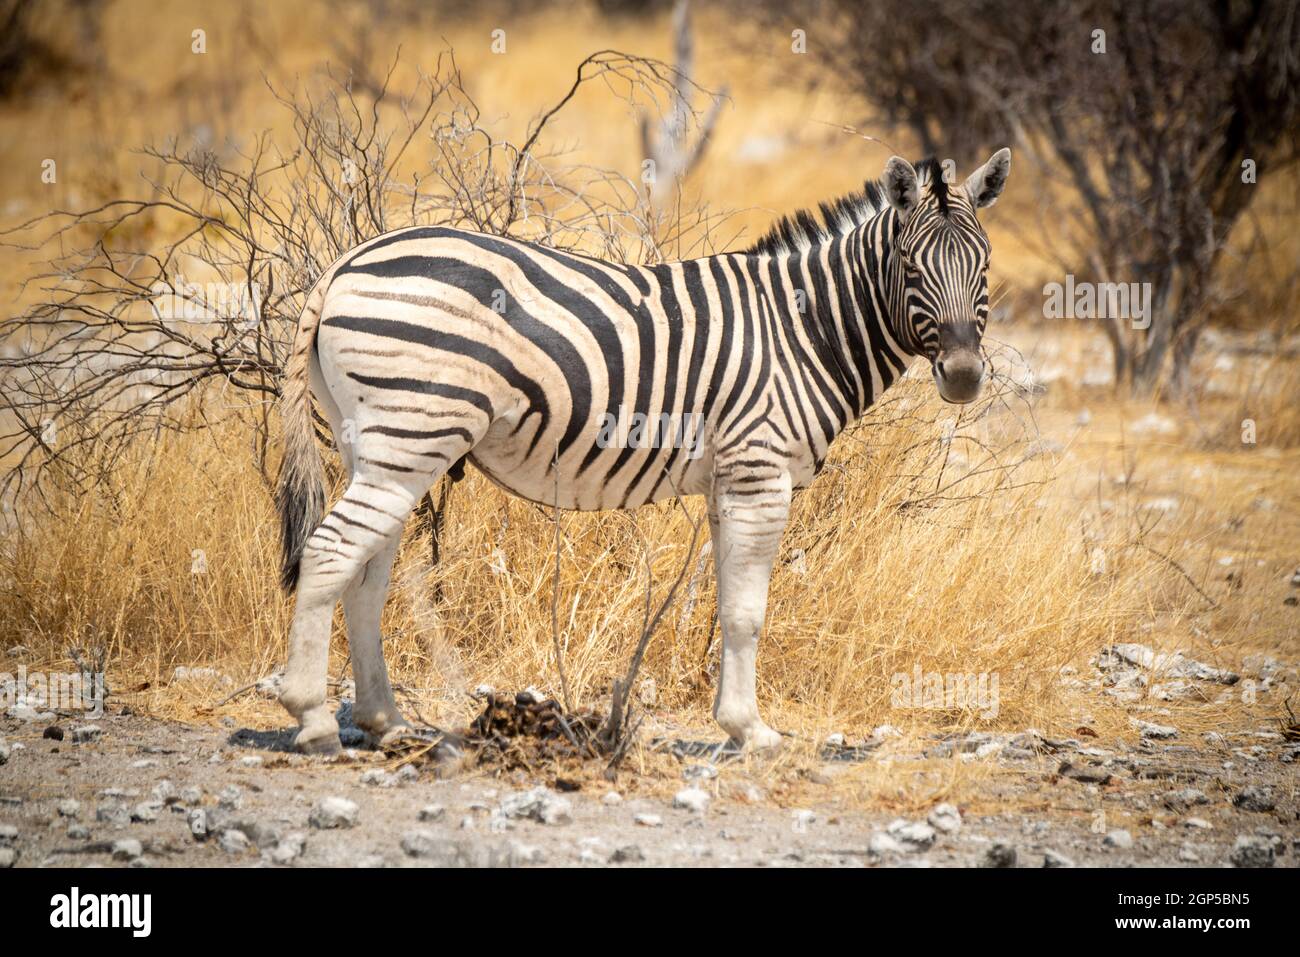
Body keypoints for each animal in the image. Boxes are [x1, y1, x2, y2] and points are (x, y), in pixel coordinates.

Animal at [275, 149, 1011, 753]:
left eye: (984, 267)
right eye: (911, 265)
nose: (963, 376)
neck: (803, 330)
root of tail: (344, 263)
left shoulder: (728, 478)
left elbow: (726, 604)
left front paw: (732, 720)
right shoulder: (760, 469)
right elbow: (748, 611)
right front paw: (753, 731)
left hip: (381, 445)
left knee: (368, 571)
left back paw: (385, 721)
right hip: (412, 431)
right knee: (332, 550)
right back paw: (311, 717)